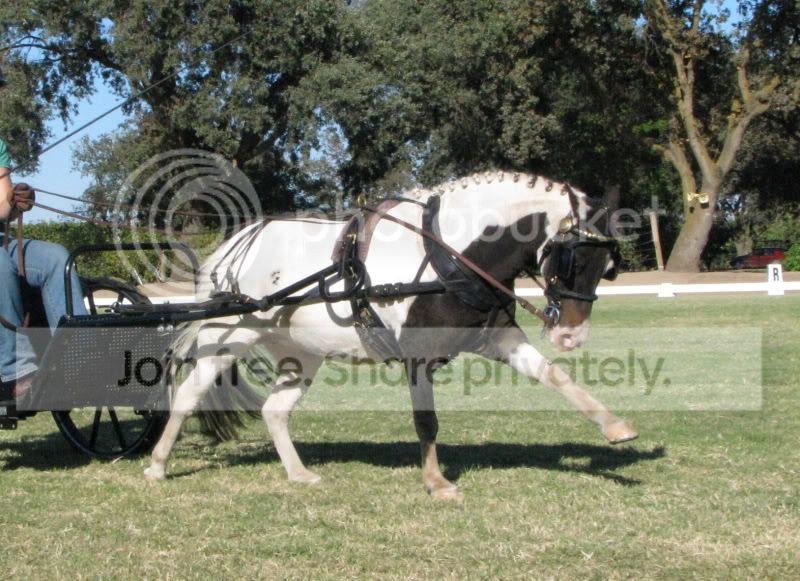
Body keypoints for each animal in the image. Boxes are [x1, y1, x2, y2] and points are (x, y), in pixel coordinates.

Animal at [143, 170, 637, 500]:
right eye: (572, 258)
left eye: (607, 265)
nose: (572, 336)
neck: (449, 254)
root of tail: (238, 242)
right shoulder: (418, 354)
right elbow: (426, 421)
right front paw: (436, 481)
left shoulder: (499, 339)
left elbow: (554, 376)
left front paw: (615, 426)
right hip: (230, 337)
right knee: (188, 395)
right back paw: (158, 464)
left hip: (303, 356)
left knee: (275, 410)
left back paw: (299, 473)